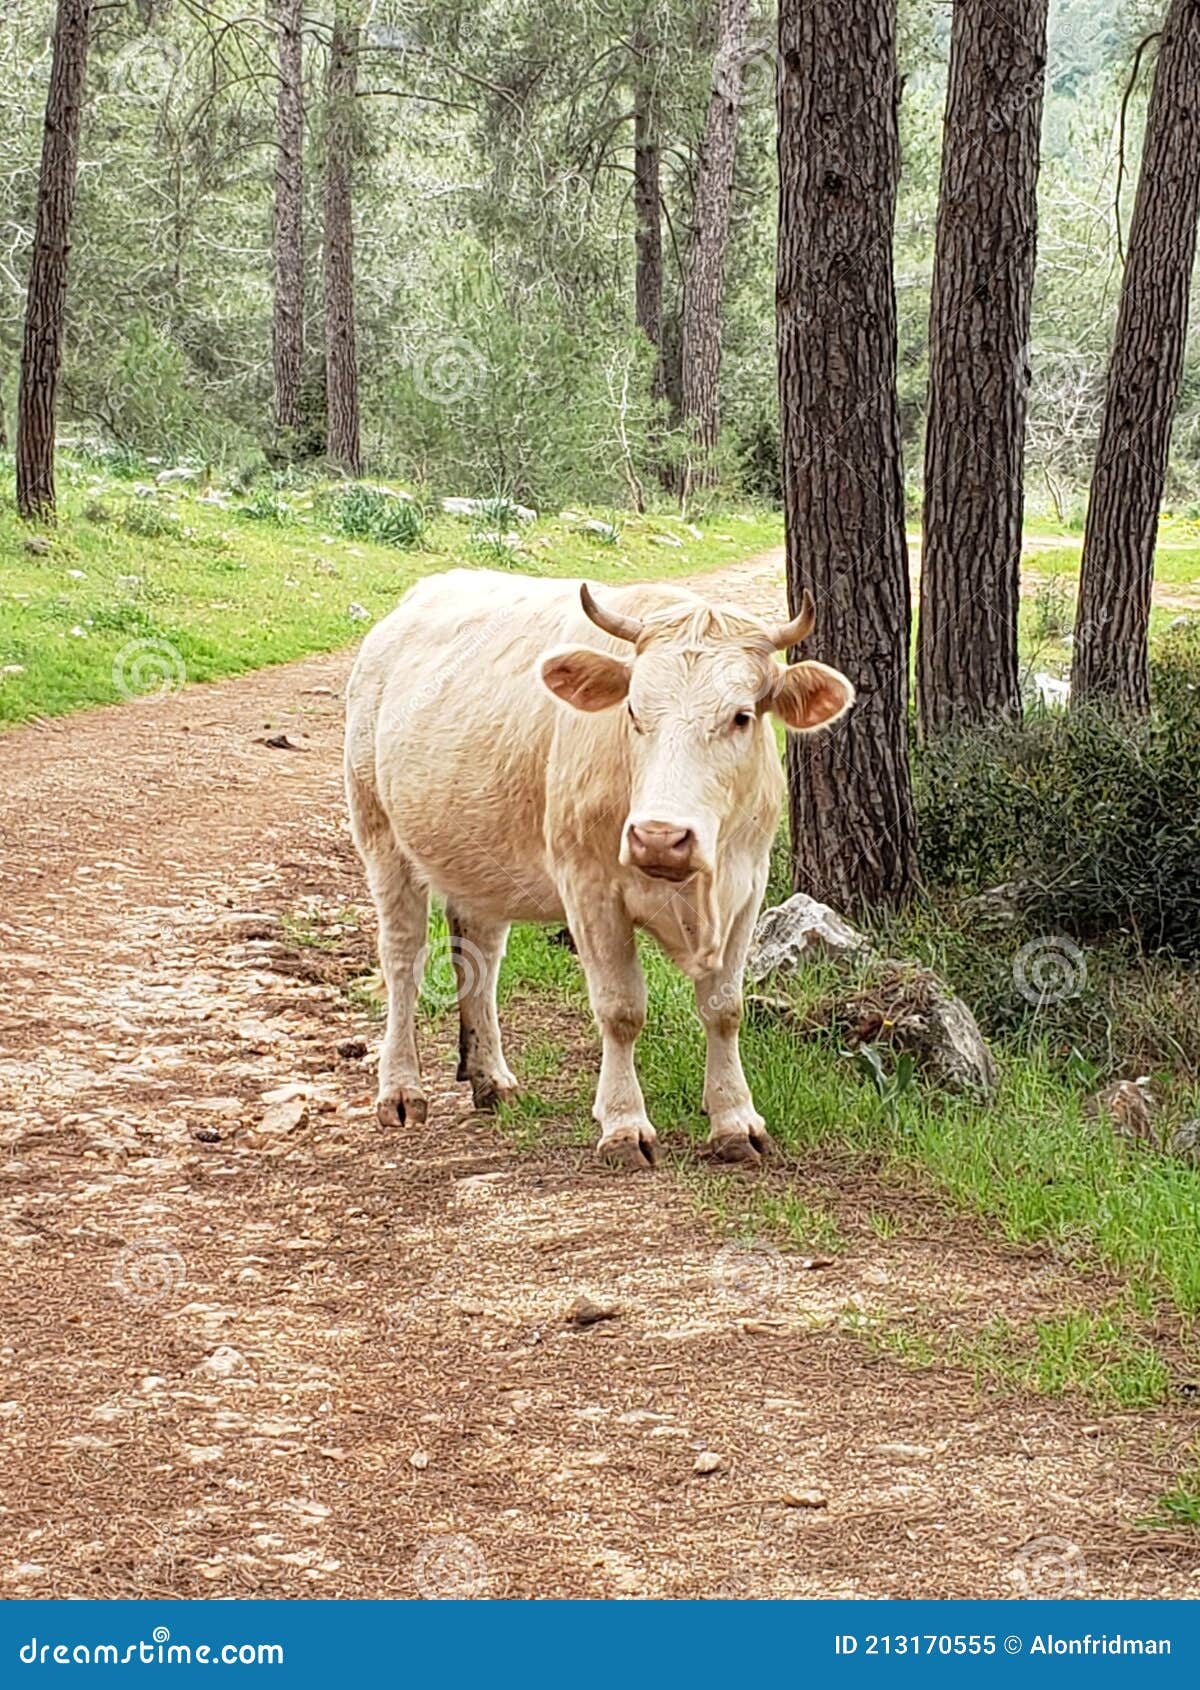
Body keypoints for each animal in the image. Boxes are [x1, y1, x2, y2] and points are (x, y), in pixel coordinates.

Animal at [344, 569, 854, 1169]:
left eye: (741, 717)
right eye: (632, 712)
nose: (660, 837)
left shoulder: (746, 885)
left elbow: (724, 1008)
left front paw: (735, 1120)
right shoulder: (590, 887)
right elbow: (621, 1010)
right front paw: (624, 1124)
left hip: (479, 857)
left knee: (481, 958)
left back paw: (491, 1078)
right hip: (380, 836)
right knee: (403, 960)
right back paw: (401, 1089)